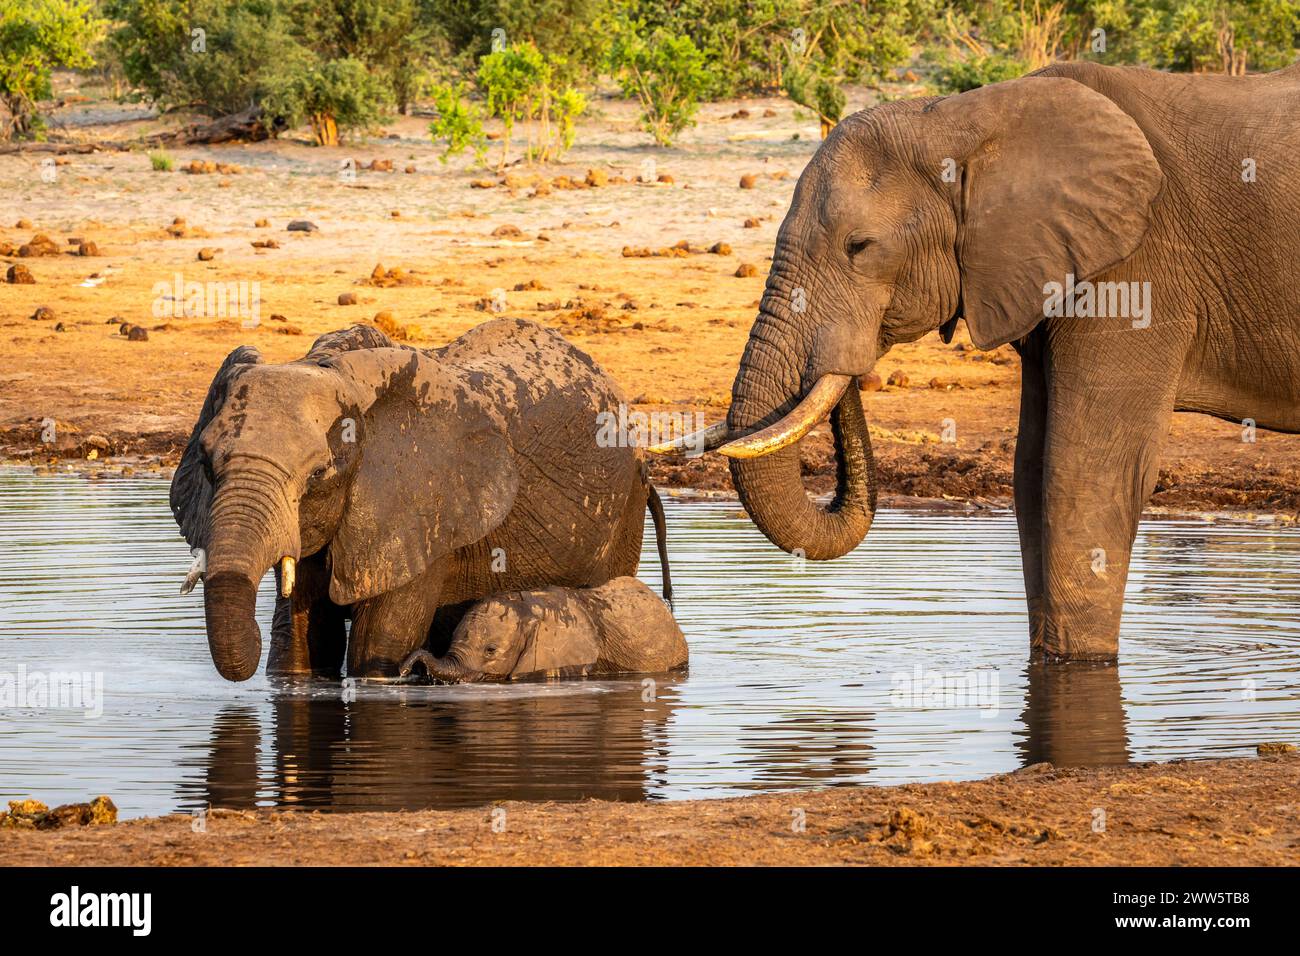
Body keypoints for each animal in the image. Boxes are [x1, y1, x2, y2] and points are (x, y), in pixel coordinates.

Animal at [654, 60, 1300, 662]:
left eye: (859, 248)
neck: (962, 119)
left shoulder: (1137, 274)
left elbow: (1083, 473)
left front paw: (1080, 663)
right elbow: (1031, 472)